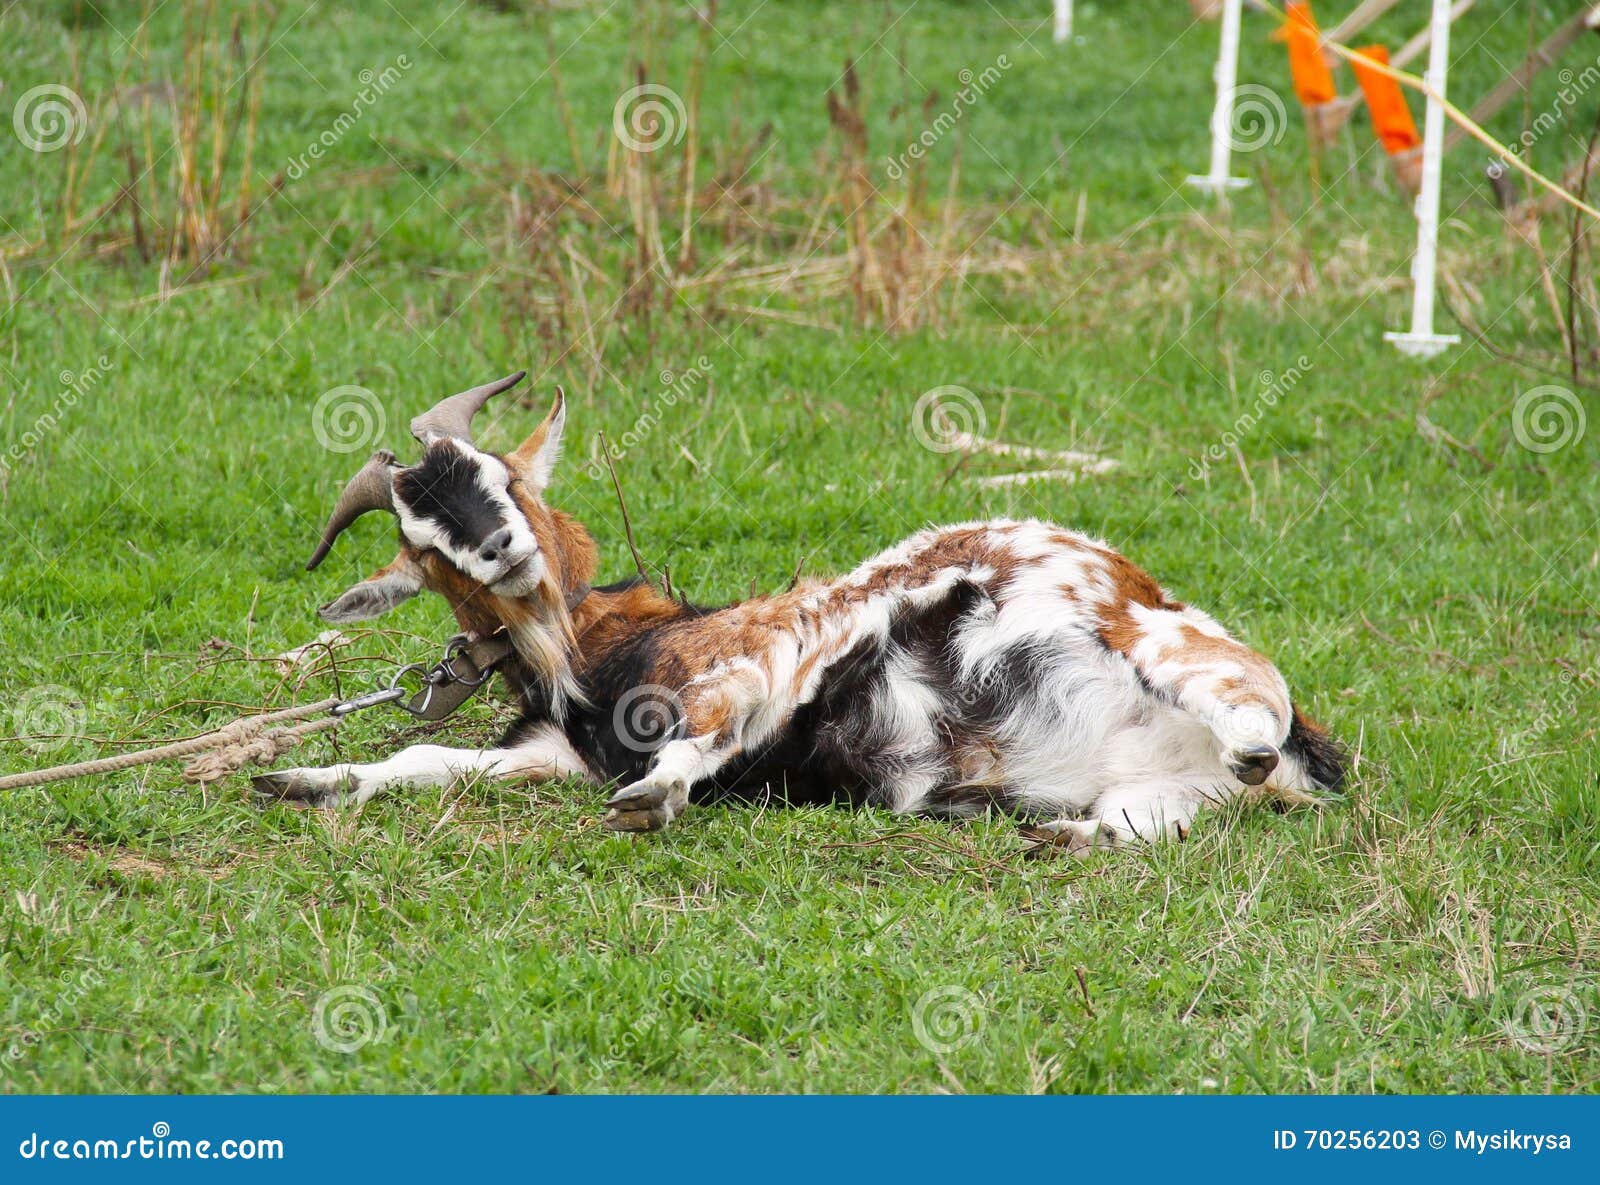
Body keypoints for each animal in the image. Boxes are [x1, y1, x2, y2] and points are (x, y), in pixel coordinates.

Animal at [253, 372, 1346, 851]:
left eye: (497, 477)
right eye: (421, 542)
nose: (505, 551)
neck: (594, 652)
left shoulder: (759, 656)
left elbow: (704, 732)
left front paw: (656, 798)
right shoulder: (554, 754)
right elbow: (427, 757)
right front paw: (300, 780)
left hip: (1135, 623)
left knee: (1252, 693)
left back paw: (1251, 741)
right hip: (1155, 790)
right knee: (1148, 821)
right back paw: (1068, 838)